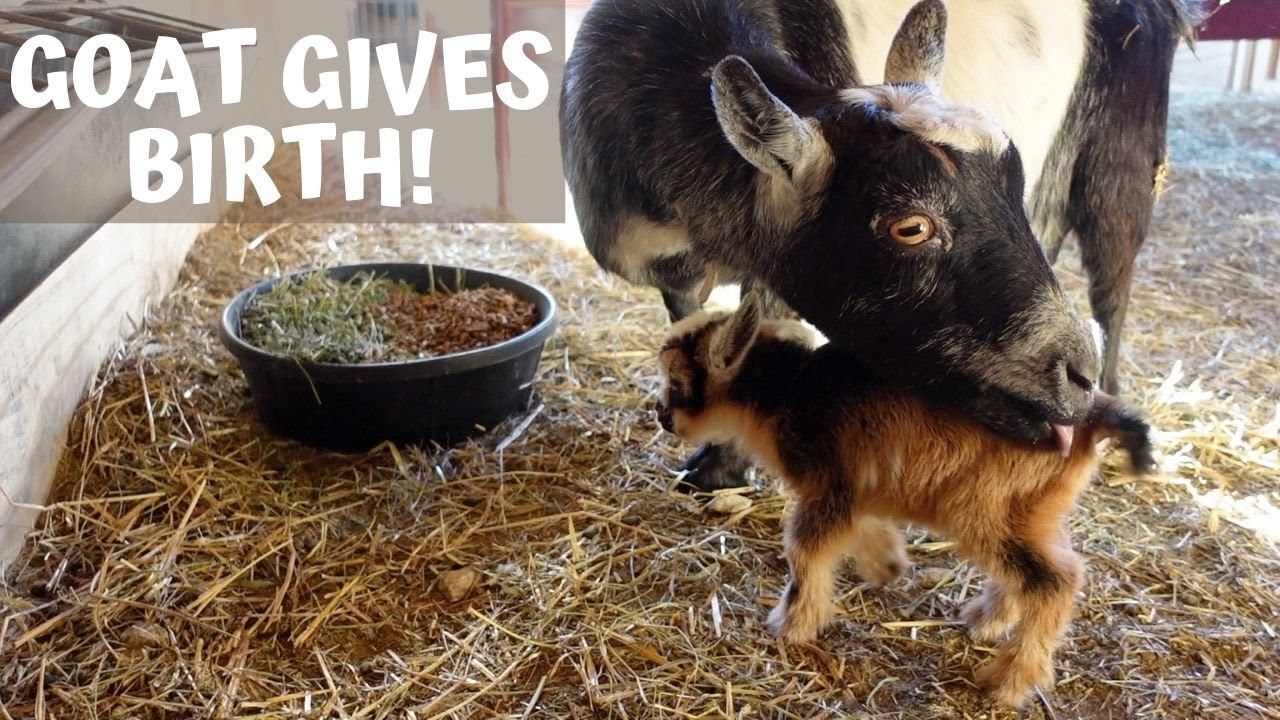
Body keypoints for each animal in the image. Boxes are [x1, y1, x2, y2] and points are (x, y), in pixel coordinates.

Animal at [655, 295, 1156, 707]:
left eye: (677, 382)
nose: (662, 417)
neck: (788, 387)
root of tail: (1092, 412)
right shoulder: (853, 489)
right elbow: (863, 527)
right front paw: (886, 565)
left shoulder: (828, 484)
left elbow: (804, 552)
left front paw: (791, 625)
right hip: (1029, 509)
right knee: (1041, 569)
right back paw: (988, 619)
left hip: (981, 508)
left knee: (1055, 580)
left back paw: (1011, 681)